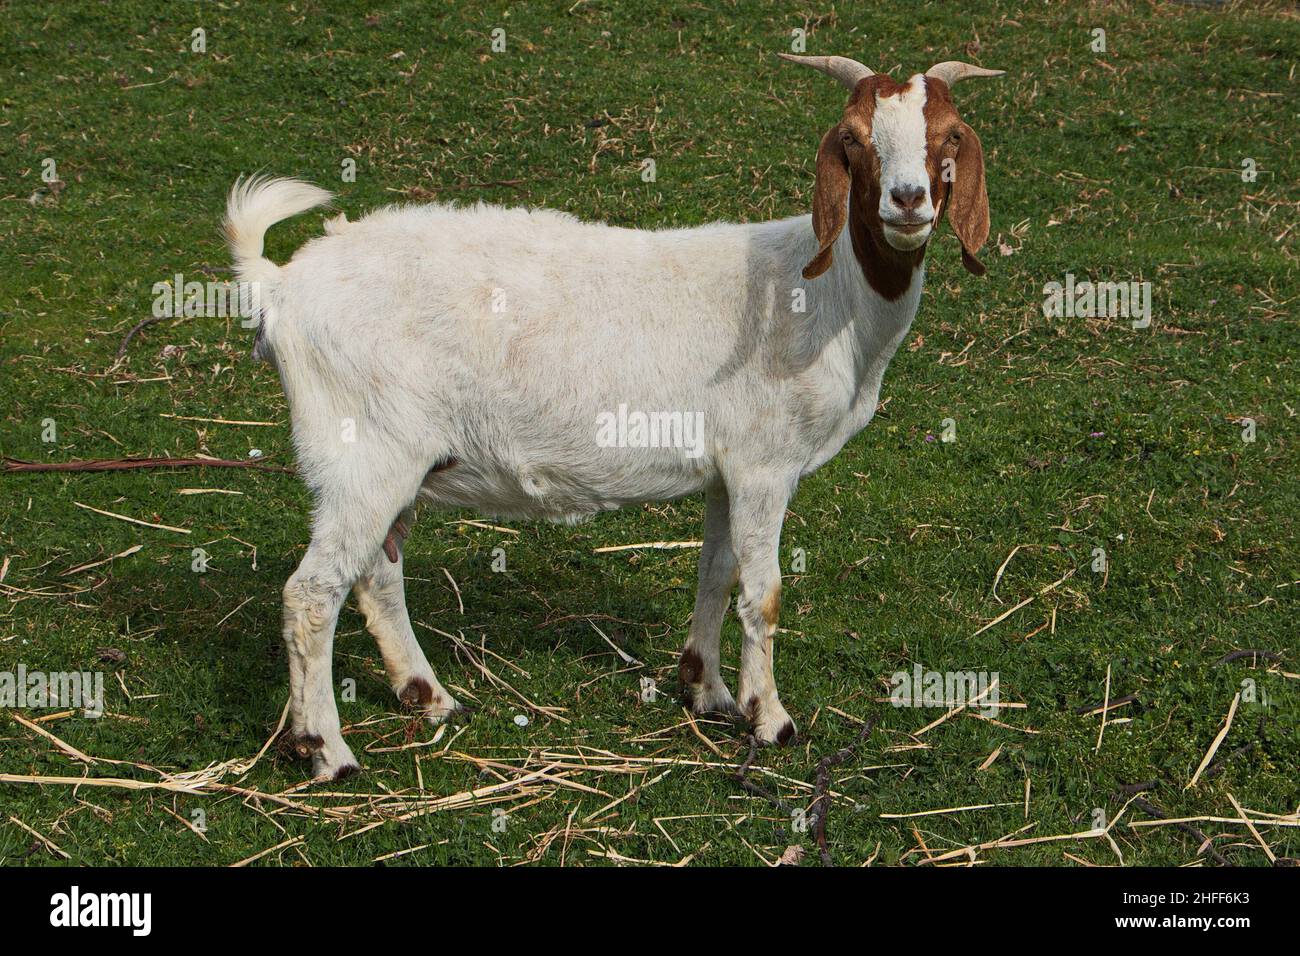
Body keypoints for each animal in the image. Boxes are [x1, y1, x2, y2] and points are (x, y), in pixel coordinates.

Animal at [225, 55, 1003, 779]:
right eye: (853, 139)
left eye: (949, 135)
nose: (908, 200)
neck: (827, 294)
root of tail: (280, 284)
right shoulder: (764, 465)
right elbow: (763, 595)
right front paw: (771, 719)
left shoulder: (726, 472)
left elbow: (716, 574)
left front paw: (707, 692)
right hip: (361, 449)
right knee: (311, 596)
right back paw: (327, 749)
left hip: (394, 458)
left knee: (377, 573)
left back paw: (429, 697)